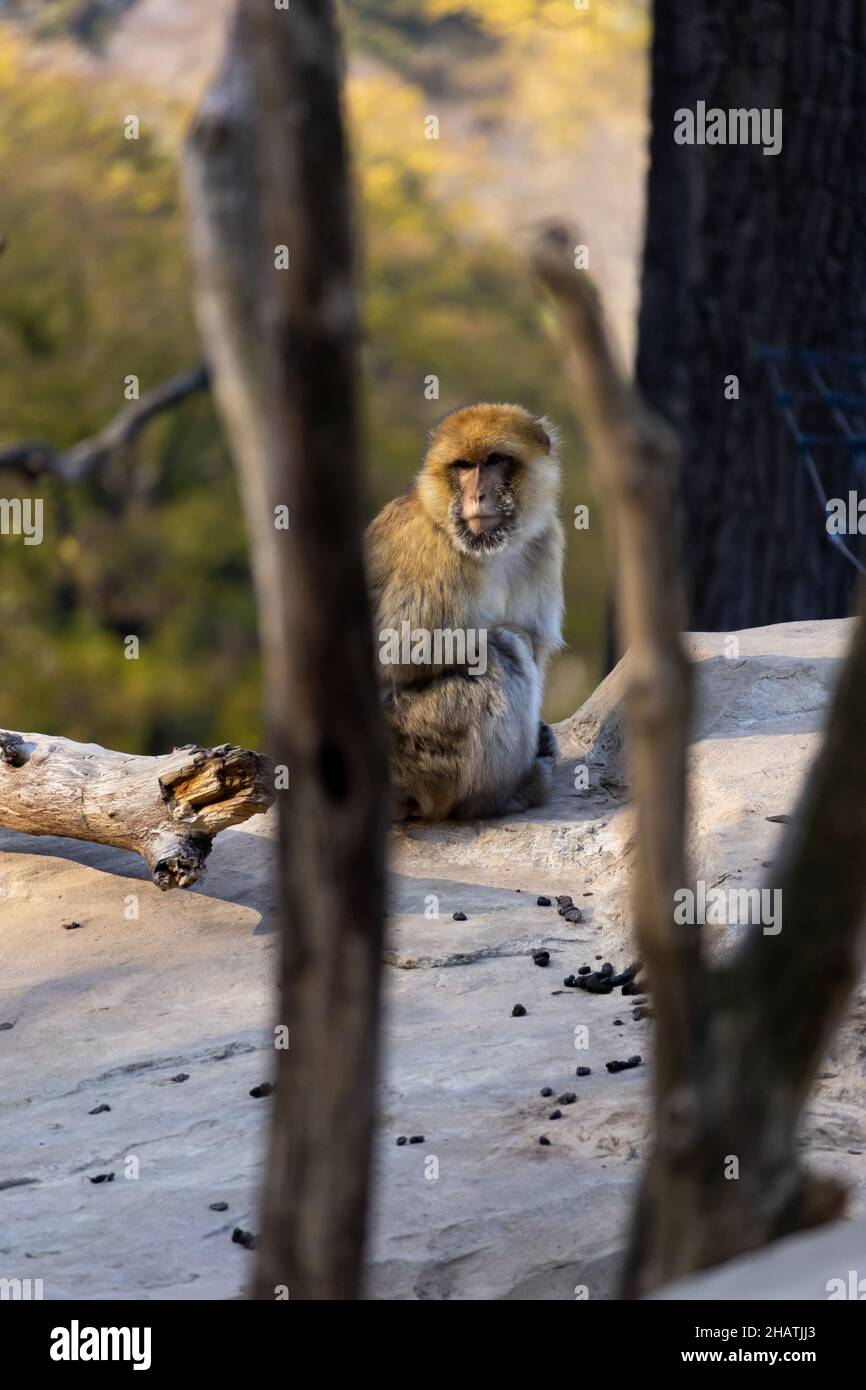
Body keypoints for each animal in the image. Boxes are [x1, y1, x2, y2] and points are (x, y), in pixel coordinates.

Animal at [365, 403, 564, 821]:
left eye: (494, 461)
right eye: (463, 466)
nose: (478, 494)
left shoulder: (545, 541)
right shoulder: (431, 555)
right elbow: (396, 659)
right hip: (418, 749)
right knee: (500, 650)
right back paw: (501, 797)